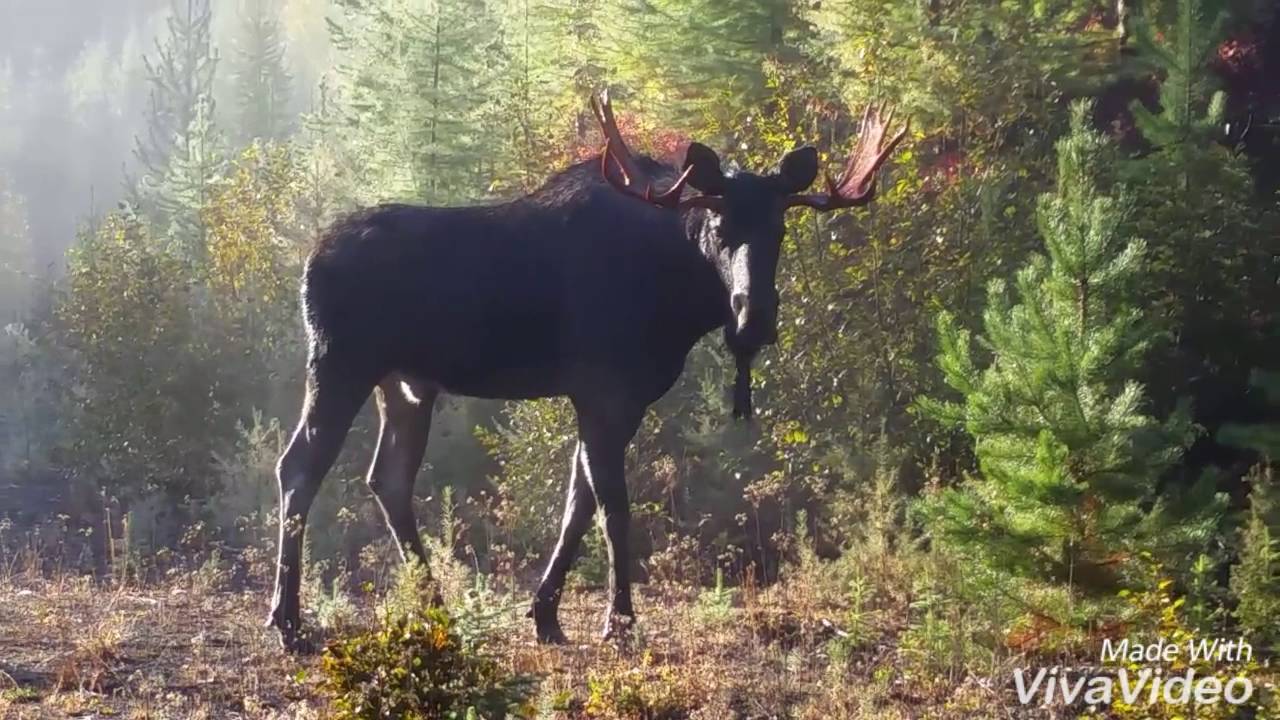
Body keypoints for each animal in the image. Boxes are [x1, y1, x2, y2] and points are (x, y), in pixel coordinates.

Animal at [267, 91, 907, 651]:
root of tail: (308, 263)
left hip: (405, 385)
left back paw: (433, 607)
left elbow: (578, 503)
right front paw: (618, 620)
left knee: (388, 478)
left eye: (780, 229)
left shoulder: (614, 399)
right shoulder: (604, 390)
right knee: (299, 466)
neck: (675, 299)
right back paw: (288, 620)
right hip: (338, 363)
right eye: (720, 228)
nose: (755, 319)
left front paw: (546, 616)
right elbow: (613, 508)